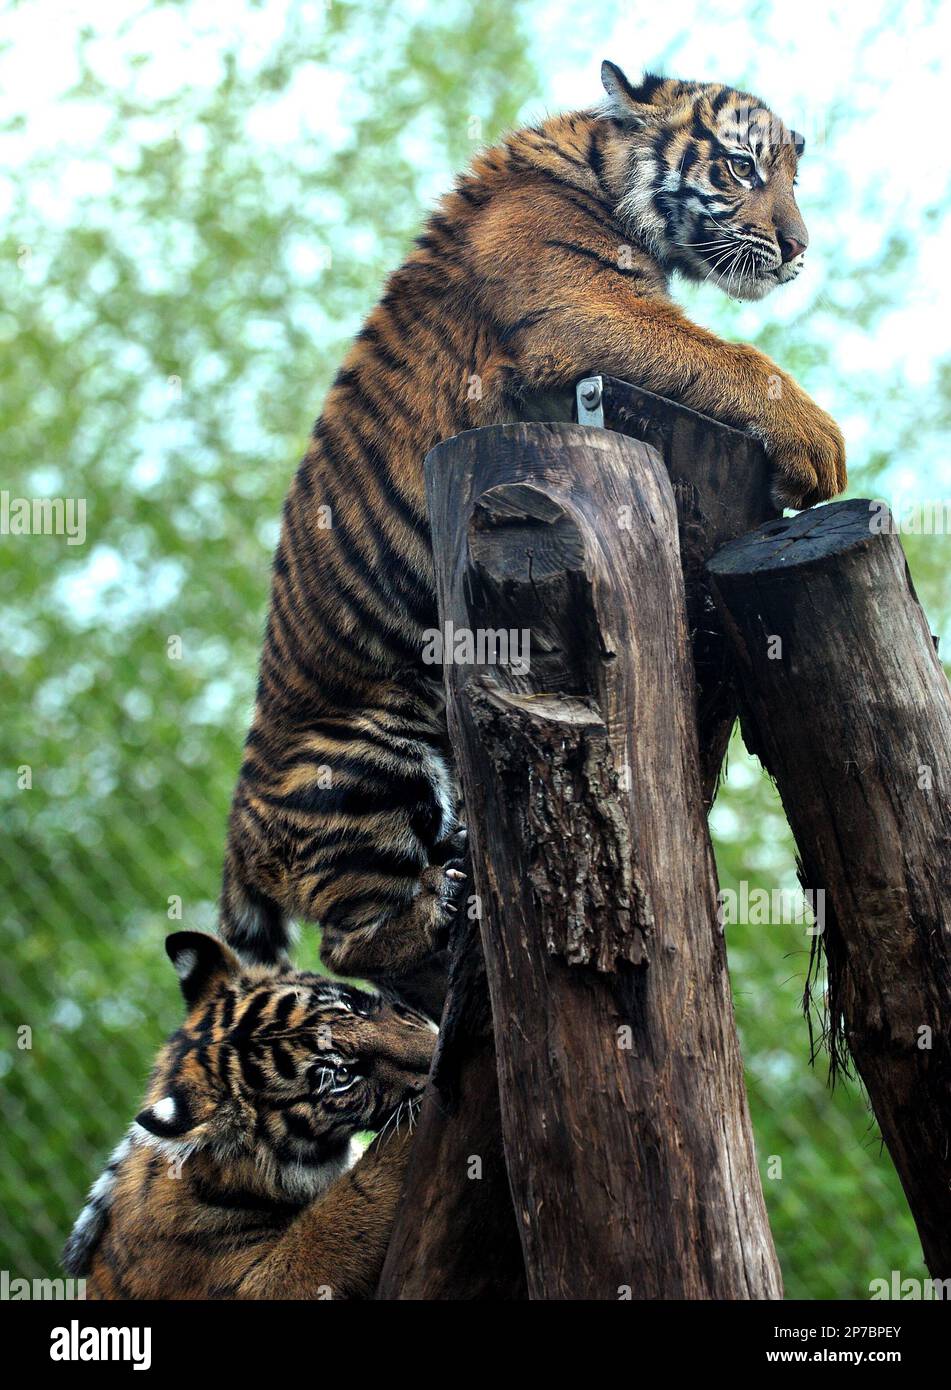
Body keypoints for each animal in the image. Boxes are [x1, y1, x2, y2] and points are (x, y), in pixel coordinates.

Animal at [219, 59, 846, 1010]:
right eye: (741, 168)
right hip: (369, 753)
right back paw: (433, 916)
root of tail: (239, 826)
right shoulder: (581, 307)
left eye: (794, 179)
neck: (601, 174)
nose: (797, 249)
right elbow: (729, 357)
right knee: (348, 939)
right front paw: (816, 446)